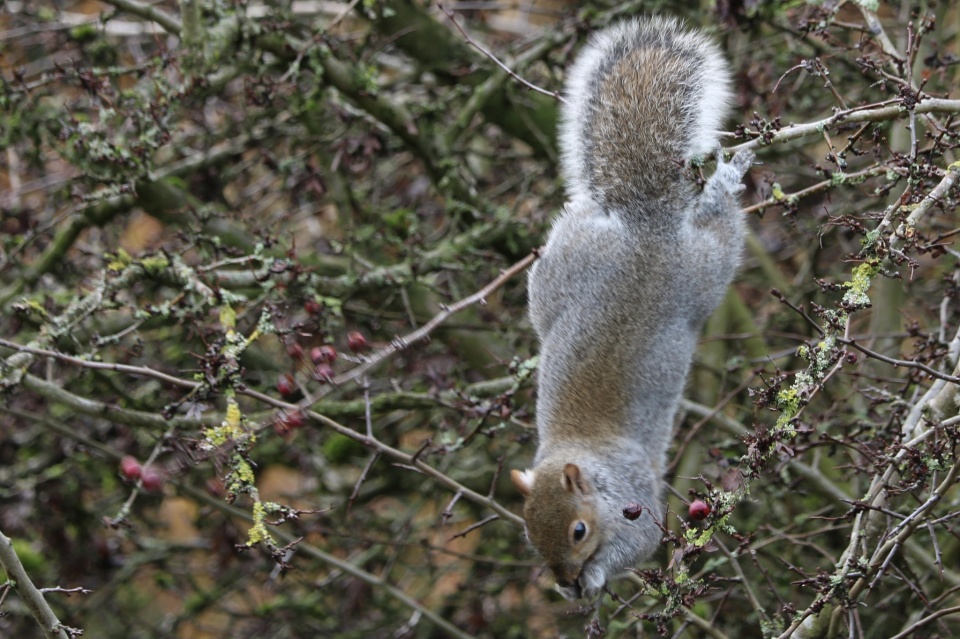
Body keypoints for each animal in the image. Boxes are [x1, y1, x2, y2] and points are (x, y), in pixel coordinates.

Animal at [510, 17, 754, 600]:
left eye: (578, 530)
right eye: (528, 533)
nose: (566, 581)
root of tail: (647, 227)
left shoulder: (635, 499)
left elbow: (638, 544)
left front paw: (598, 573)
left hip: (705, 267)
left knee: (722, 228)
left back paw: (726, 182)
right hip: (560, 268)